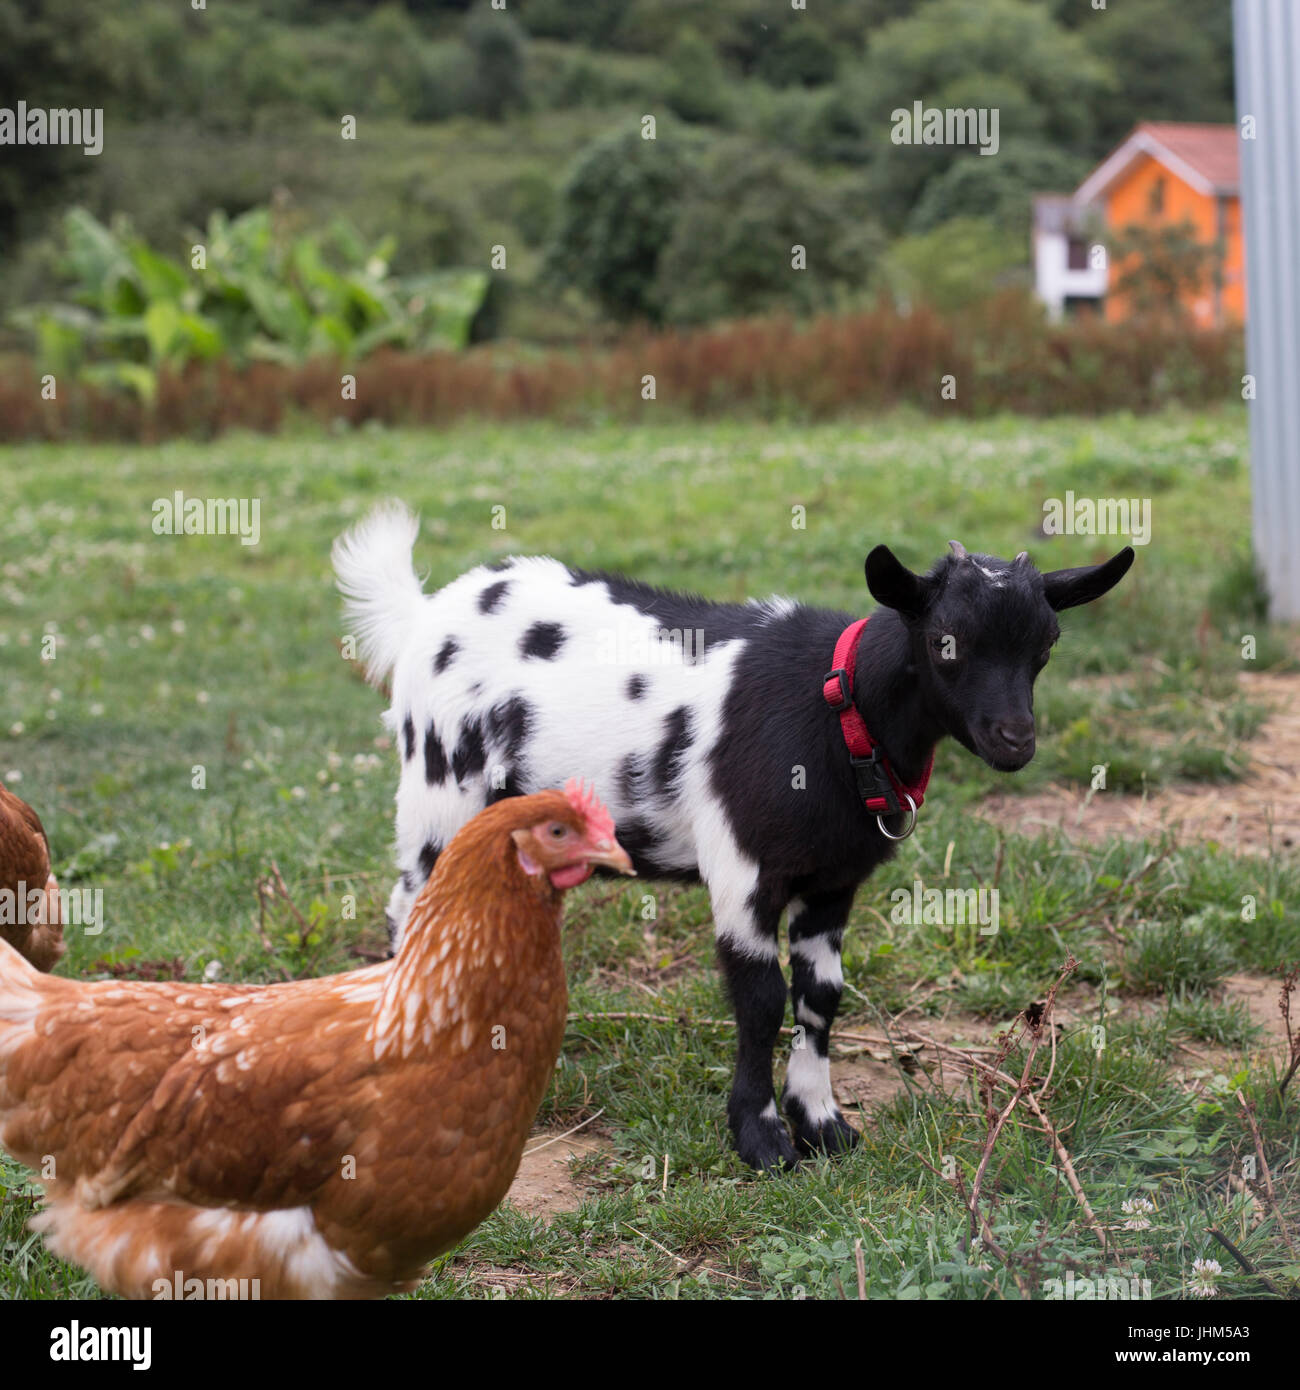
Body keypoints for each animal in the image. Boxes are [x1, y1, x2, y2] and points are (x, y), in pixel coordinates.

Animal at [334, 505, 1133, 1171]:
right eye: (946, 643)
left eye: (1047, 647)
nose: (1016, 741)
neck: (835, 708)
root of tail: (424, 616)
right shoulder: (743, 868)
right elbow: (760, 998)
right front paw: (761, 1137)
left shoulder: (833, 881)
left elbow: (820, 993)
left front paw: (823, 1124)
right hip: (440, 798)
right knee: (410, 914)